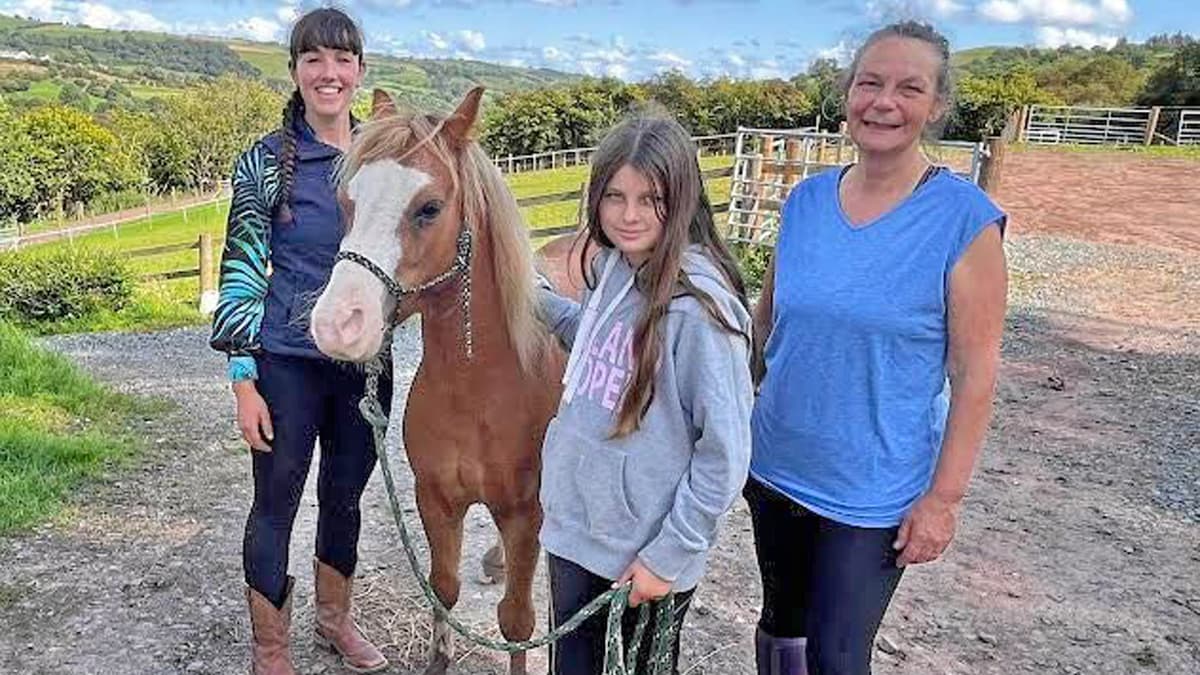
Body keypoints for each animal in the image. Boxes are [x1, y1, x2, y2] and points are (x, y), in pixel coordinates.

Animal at [309, 87, 565, 675]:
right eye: (348, 201)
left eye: (429, 209)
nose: (336, 324)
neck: (480, 389)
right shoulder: (436, 500)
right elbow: (443, 588)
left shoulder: (524, 513)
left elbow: (517, 620)